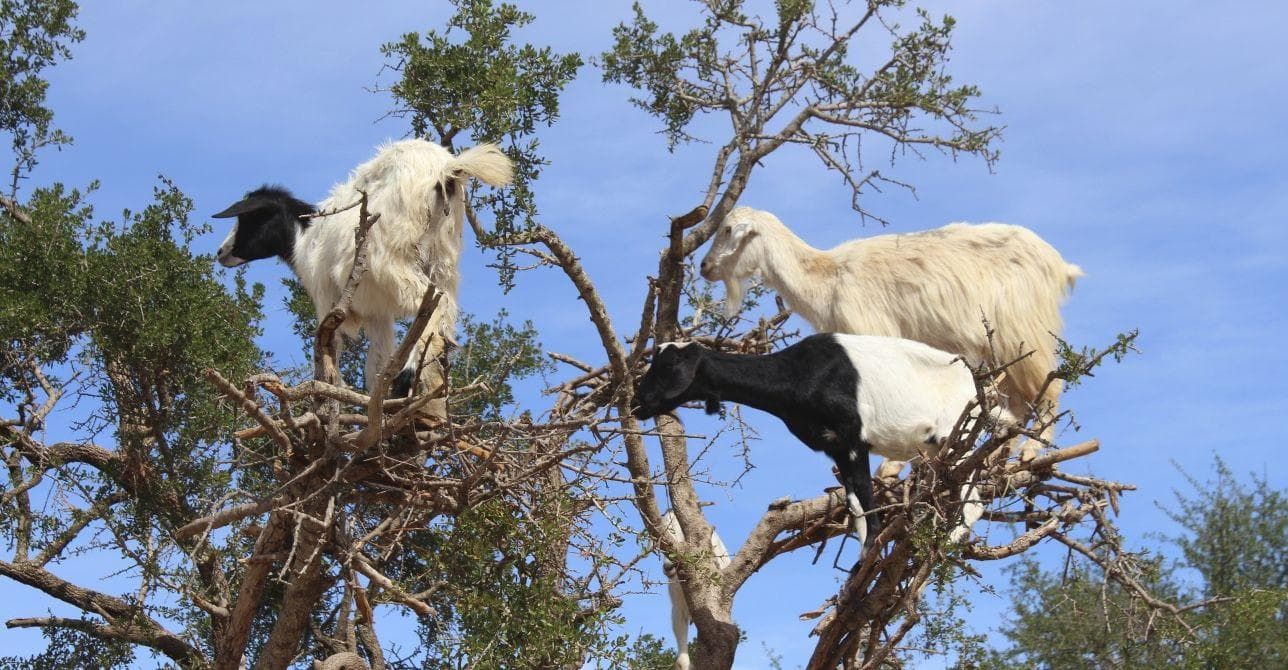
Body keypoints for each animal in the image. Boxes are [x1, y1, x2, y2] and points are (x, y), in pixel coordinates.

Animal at [213, 139, 513, 403]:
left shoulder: (326, 301)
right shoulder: (376, 313)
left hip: (390, 259)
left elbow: (329, 354)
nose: (221, 253)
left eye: (249, 217)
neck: (305, 237)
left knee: (430, 307)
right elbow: (376, 362)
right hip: (444, 261)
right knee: (444, 314)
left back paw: (412, 379)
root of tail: (444, 170)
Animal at [633, 336, 1009, 550]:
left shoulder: (854, 438)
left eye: (668, 364)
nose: (638, 402)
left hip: (956, 433)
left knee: (973, 499)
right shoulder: (835, 447)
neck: (798, 373)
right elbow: (855, 504)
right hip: (936, 448)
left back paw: (945, 541)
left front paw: (870, 555)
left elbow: (867, 502)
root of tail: (979, 385)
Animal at [699, 206, 1082, 466]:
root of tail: (1061, 267)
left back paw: (1030, 452)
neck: (827, 279)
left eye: (728, 229)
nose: (704, 267)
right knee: (1017, 402)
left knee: (1050, 388)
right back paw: (998, 454)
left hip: (1023, 332)